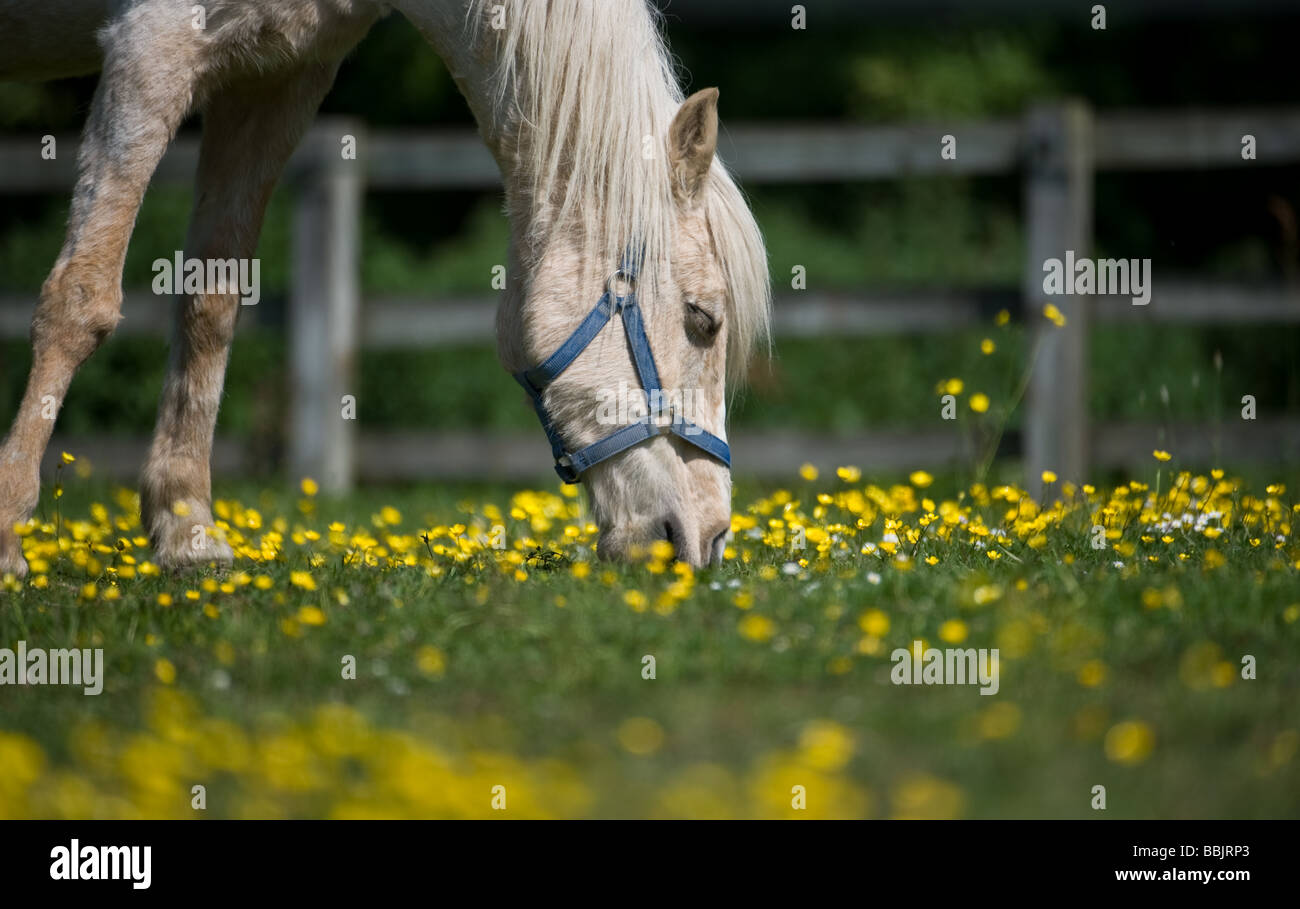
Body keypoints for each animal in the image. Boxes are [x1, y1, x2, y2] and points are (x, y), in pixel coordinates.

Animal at [0, 0, 771, 573]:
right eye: (703, 319)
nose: (710, 537)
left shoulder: (273, 80)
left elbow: (211, 300)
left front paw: (187, 532)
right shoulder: (150, 49)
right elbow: (81, 301)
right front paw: (8, 531)